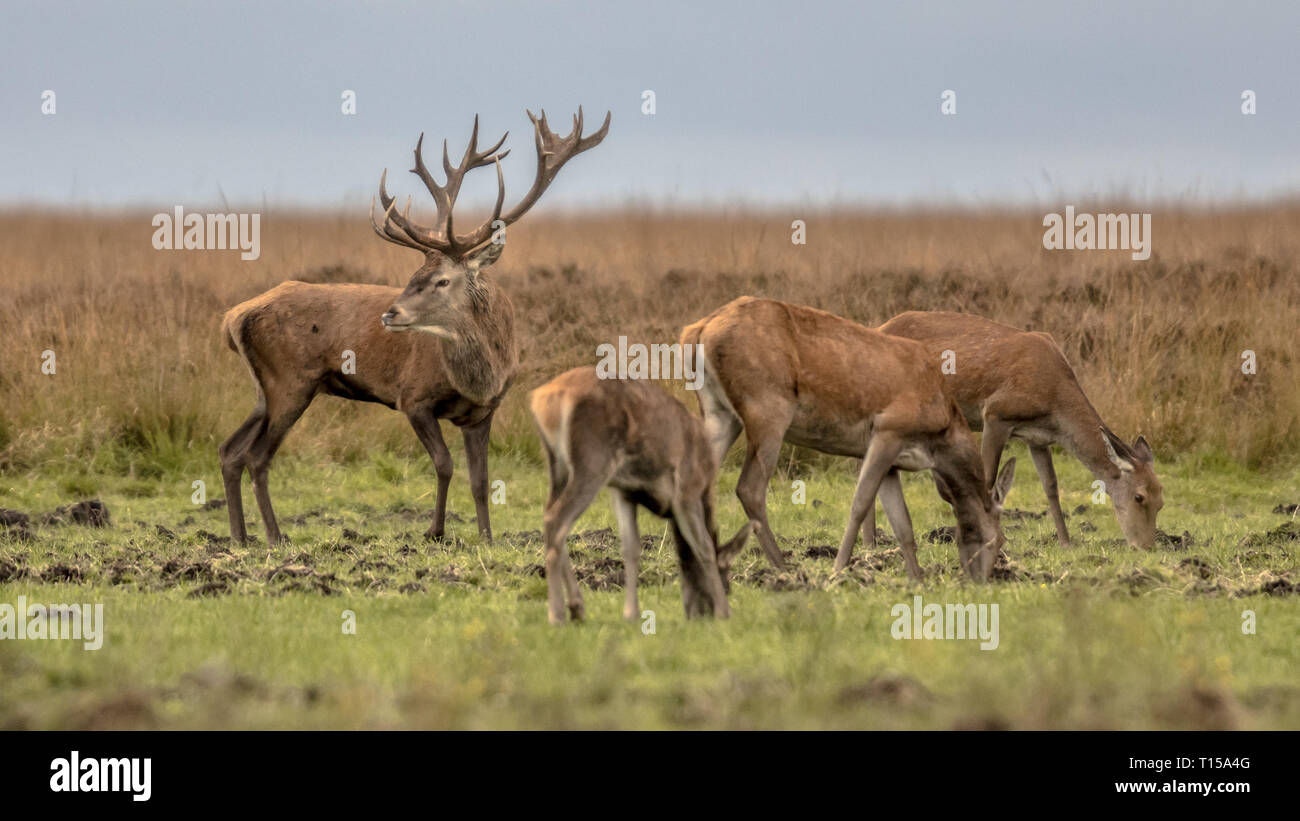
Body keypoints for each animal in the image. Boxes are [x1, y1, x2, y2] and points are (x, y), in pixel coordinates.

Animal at [219, 108, 609, 546]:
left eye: (442, 280)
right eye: (413, 275)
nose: (390, 314)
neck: (481, 375)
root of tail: (232, 318)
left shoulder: (483, 412)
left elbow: (481, 478)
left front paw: (487, 537)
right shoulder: (413, 398)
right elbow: (444, 464)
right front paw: (435, 531)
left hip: (265, 391)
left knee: (230, 451)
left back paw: (240, 536)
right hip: (290, 382)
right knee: (256, 456)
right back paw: (274, 536)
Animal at [529, 367, 756, 624]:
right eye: (726, 579)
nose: (700, 614)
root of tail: (545, 399)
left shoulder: (624, 491)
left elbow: (631, 548)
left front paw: (631, 613)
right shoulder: (686, 489)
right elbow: (704, 546)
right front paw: (723, 612)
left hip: (556, 465)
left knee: (551, 519)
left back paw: (577, 607)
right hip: (592, 460)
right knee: (556, 520)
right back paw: (557, 614)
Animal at [680, 297, 1014, 581]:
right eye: (998, 540)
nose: (983, 580)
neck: (941, 432)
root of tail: (697, 331)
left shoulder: (893, 461)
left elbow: (902, 523)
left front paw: (917, 580)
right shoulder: (888, 430)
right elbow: (860, 503)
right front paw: (838, 570)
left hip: (718, 411)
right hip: (768, 407)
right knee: (749, 488)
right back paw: (786, 569)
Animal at [877, 310, 1163, 548]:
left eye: (1161, 499)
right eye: (1139, 497)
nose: (1146, 546)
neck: (1053, 402)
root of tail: (879, 327)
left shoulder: (1038, 439)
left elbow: (1051, 486)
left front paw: (1065, 542)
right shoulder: (995, 413)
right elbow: (989, 480)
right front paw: (994, 541)